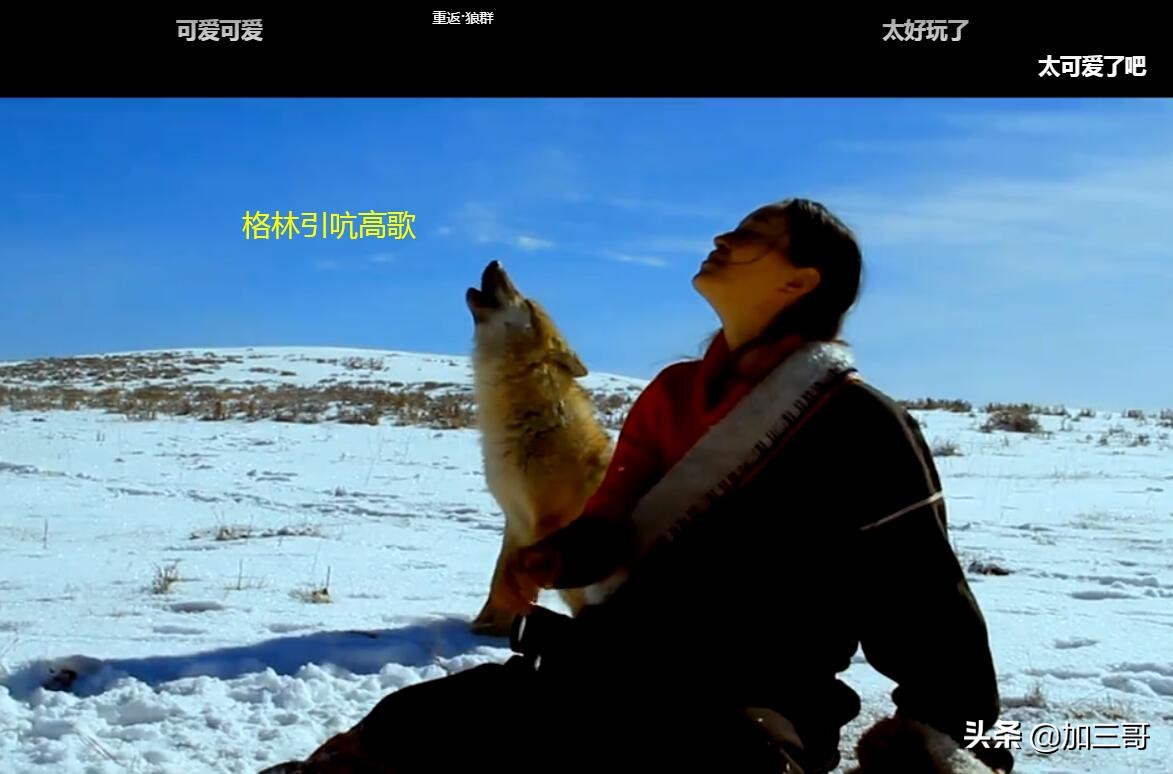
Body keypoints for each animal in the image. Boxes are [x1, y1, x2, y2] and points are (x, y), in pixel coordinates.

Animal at [465, 260, 614, 636]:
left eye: (526, 303)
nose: (496, 262)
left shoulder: (544, 527)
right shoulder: (514, 520)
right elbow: (498, 580)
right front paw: (484, 624)